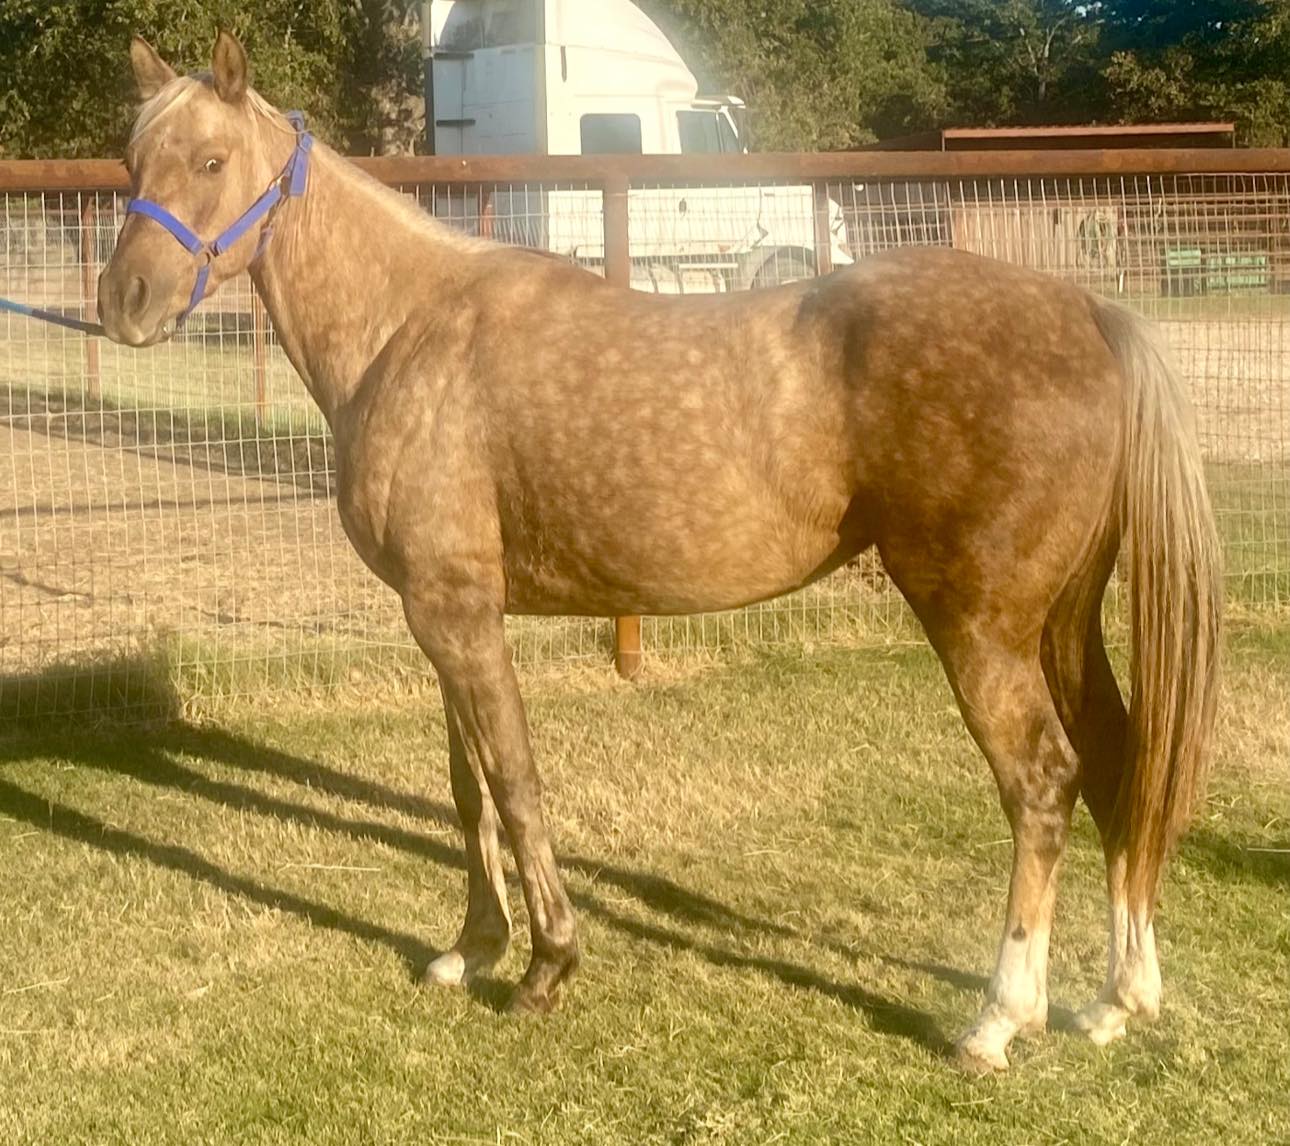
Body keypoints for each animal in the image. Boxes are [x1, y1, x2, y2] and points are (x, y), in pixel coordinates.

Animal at [98, 33, 1222, 1073]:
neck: (407, 330)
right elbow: (470, 791)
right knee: (1119, 759)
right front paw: (473, 948)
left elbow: (516, 782)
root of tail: (1088, 311)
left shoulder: (455, 614)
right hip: (1063, 620)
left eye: (210, 160)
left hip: (982, 626)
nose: (125, 302)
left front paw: (547, 966)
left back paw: (998, 1018)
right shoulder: (448, 614)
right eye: (130, 159)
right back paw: (1118, 998)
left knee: (1041, 783)